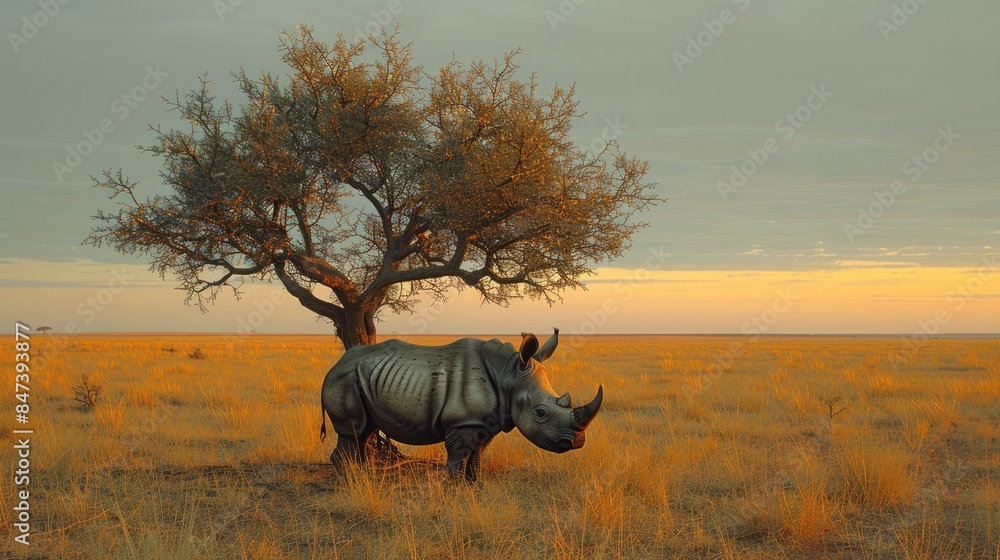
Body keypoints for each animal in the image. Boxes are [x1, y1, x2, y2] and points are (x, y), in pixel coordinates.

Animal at [320, 328, 603, 481]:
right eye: (541, 412)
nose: (577, 442)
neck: (508, 376)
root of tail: (336, 364)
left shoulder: (485, 422)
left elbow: (477, 454)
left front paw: (475, 484)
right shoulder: (462, 421)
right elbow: (459, 454)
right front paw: (455, 487)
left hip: (363, 378)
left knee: (362, 431)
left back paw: (361, 478)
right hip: (344, 378)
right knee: (352, 430)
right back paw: (348, 482)